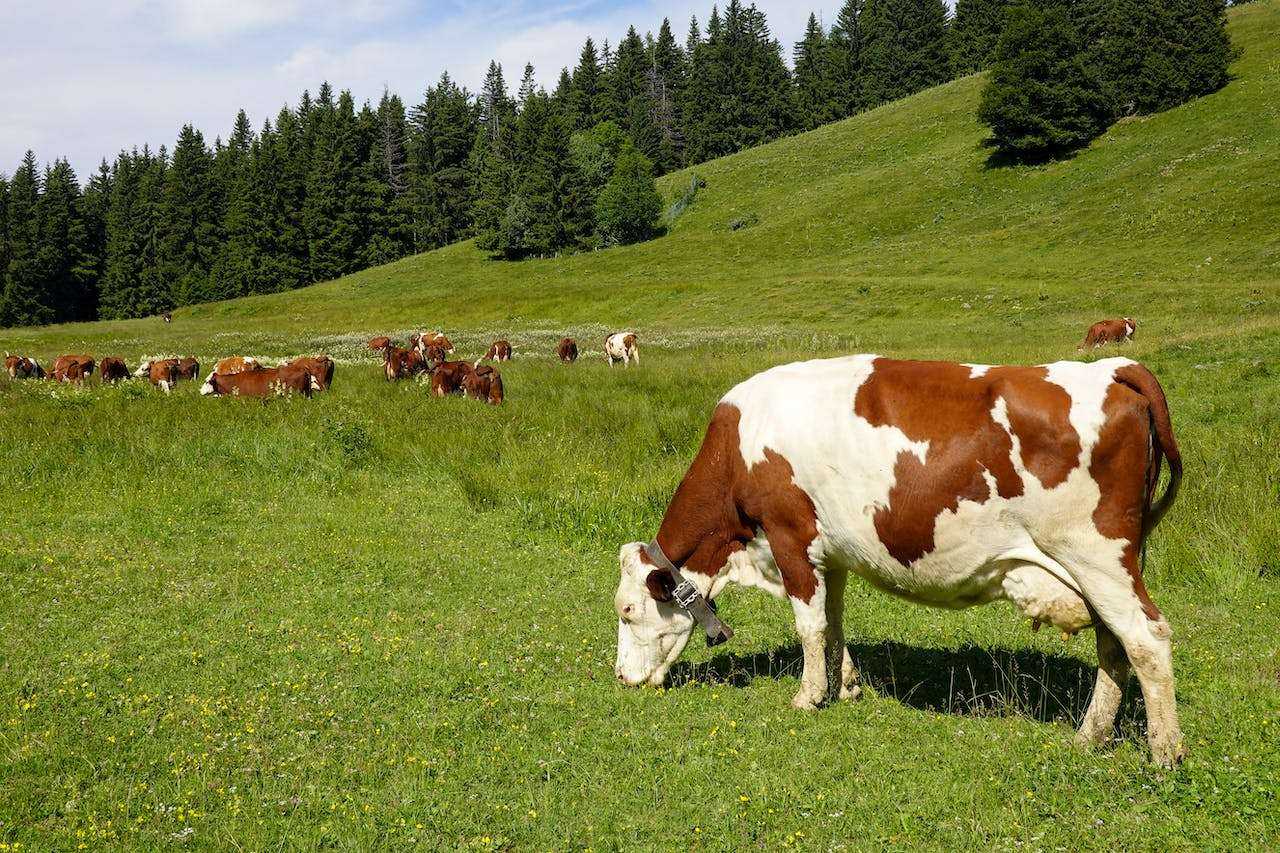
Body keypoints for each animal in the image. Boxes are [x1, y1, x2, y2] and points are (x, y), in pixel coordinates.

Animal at [613, 355, 1185, 767]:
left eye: (627, 611)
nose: (621, 677)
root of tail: (1112, 368)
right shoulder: (831, 551)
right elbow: (831, 623)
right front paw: (845, 686)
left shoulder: (789, 536)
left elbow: (807, 625)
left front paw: (807, 696)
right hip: (1106, 568)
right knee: (1114, 644)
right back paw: (1091, 736)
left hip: (1096, 556)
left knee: (1146, 638)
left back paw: (1164, 752)